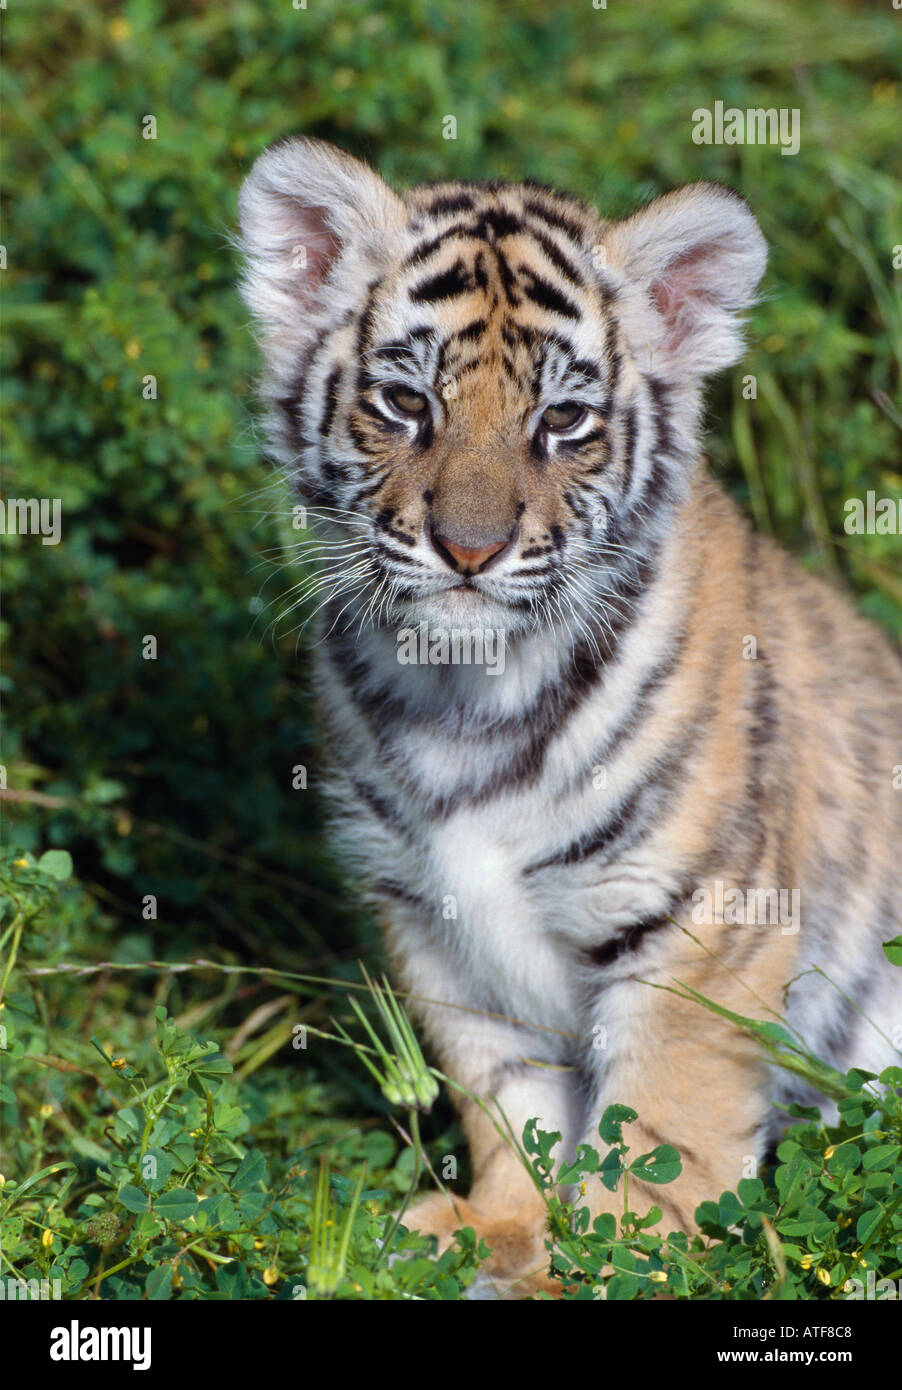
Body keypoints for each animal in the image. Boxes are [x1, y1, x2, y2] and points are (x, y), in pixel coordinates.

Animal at [238, 136, 902, 1297]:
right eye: (404, 403)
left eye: (563, 421)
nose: (468, 549)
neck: (462, 693)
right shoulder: (438, 921)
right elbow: (509, 1094)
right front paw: (500, 1228)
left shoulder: (704, 923)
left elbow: (659, 1136)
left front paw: (603, 1266)